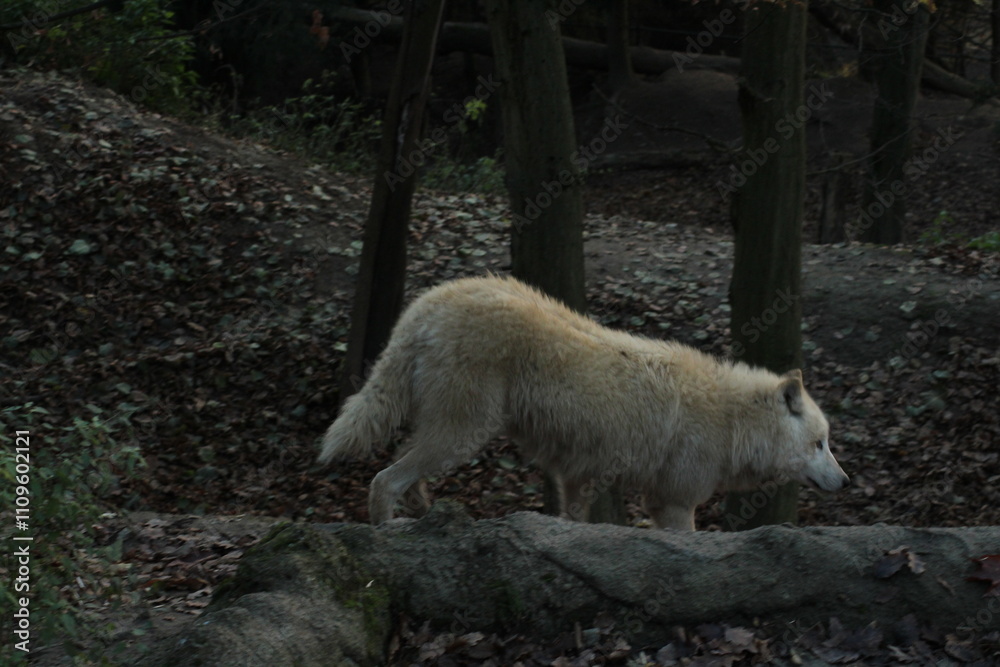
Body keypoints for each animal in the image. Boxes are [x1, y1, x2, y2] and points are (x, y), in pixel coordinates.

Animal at [319, 275, 849, 530]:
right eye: (820, 444)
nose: (845, 482)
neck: (732, 422)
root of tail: (428, 303)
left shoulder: (577, 477)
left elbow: (573, 521)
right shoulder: (671, 501)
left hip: (446, 430)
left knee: (403, 465)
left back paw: (431, 515)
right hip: (463, 435)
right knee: (383, 480)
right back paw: (387, 530)